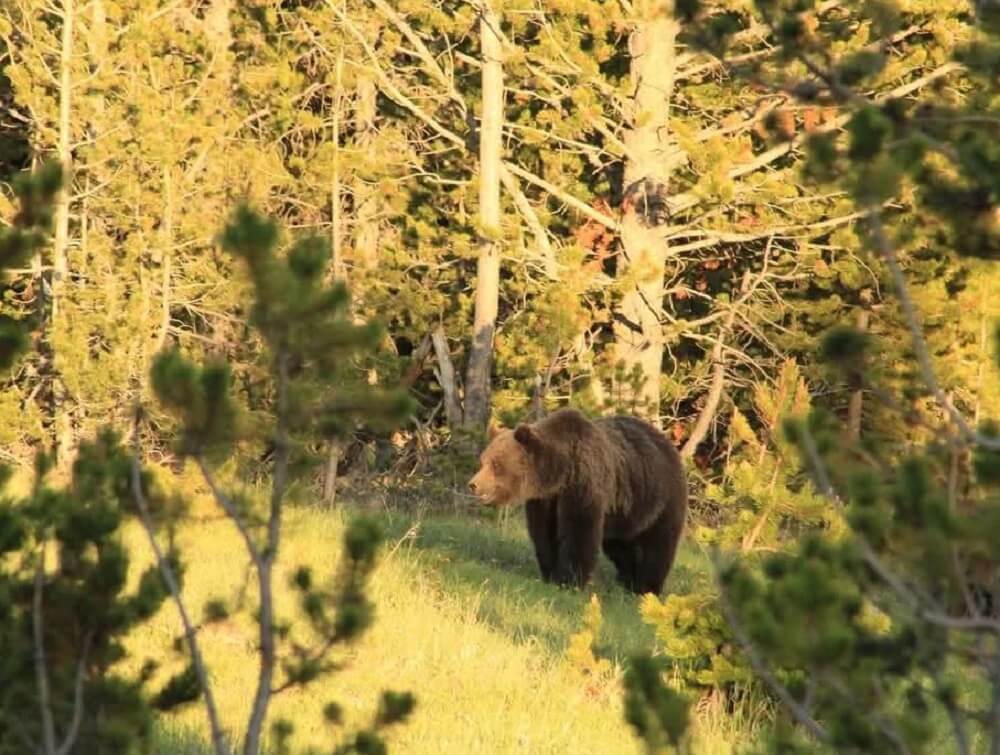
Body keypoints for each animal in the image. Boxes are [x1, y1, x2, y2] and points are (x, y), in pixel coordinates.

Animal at [468, 407, 688, 596]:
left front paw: (570, 581)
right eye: (483, 461)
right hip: (625, 511)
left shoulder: (584, 483)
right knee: (621, 546)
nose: (473, 484)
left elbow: (579, 532)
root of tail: (669, 444)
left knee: (658, 545)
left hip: (661, 498)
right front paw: (550, 573)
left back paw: (646, 587)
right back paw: (626, 580)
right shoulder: (545, 499)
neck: (559, 472)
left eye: (496, 464)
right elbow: (544, 533)